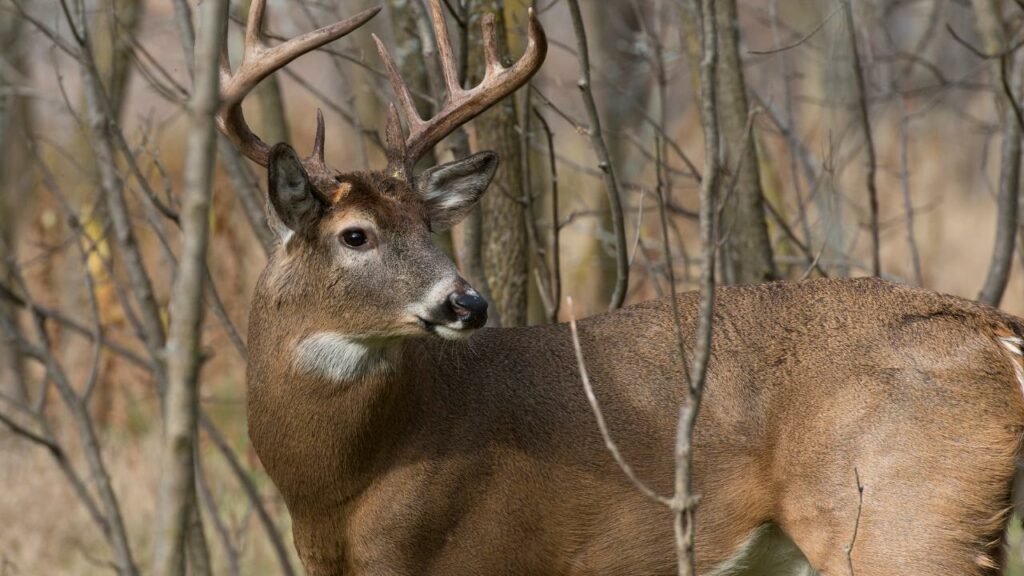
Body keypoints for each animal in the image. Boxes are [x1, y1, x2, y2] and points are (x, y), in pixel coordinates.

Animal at [215, 1, 1024, 574]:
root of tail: (995, 331)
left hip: (903, 520)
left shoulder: (484, 554)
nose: (467, 303)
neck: (337, 493)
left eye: (429, 225)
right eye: (356, 234)